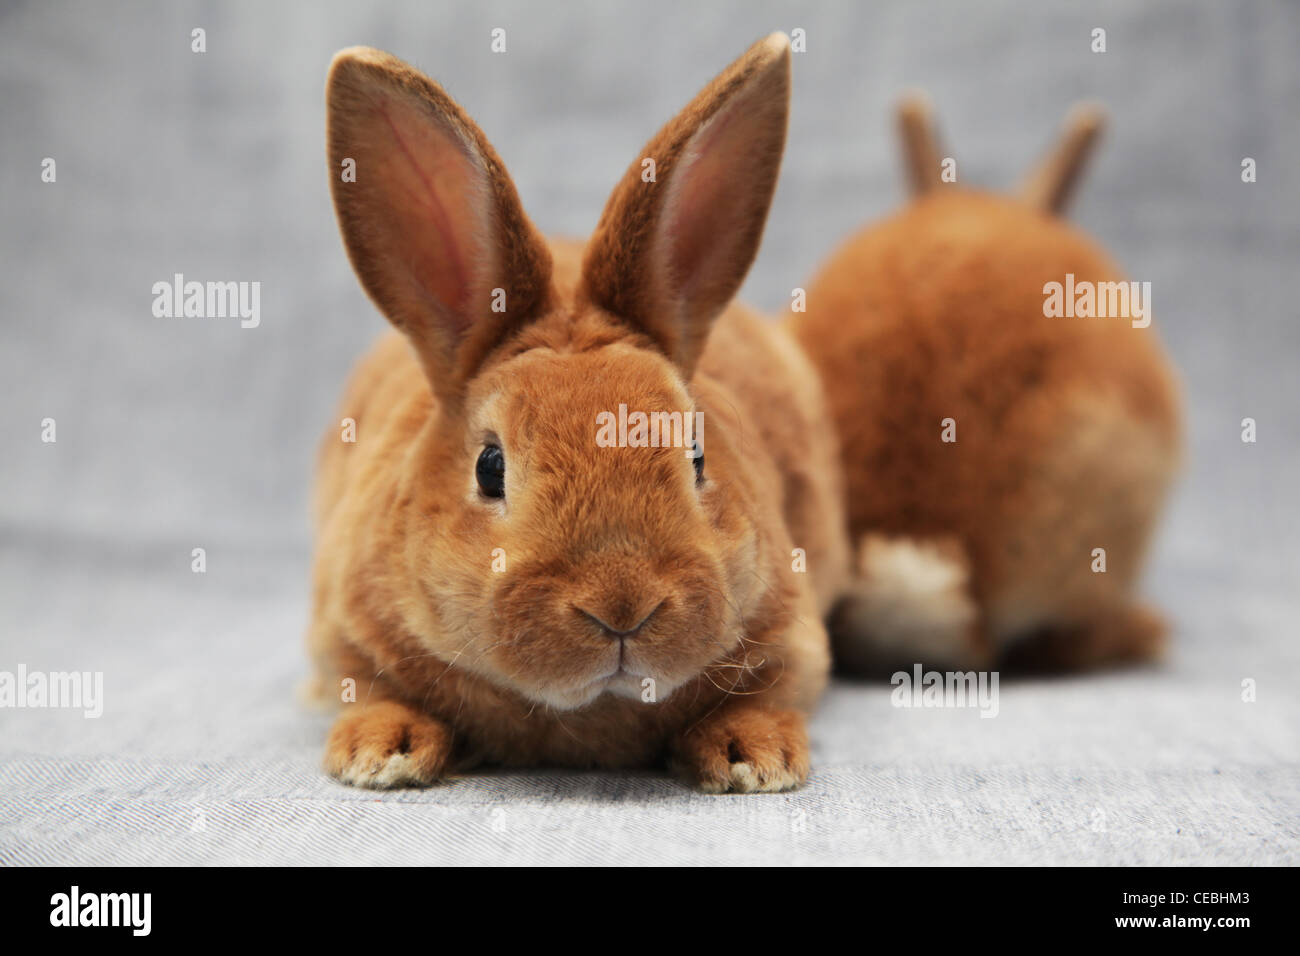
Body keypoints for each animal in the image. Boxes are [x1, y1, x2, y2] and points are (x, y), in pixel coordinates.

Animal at [306, 34, 851, 793]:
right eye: (491, 467)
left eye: (697, 456)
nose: (622, 607)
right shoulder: (346, 630)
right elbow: (370, 688)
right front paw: (381, 750)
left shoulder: (791, 635)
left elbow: (768, 694)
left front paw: (755, 756)